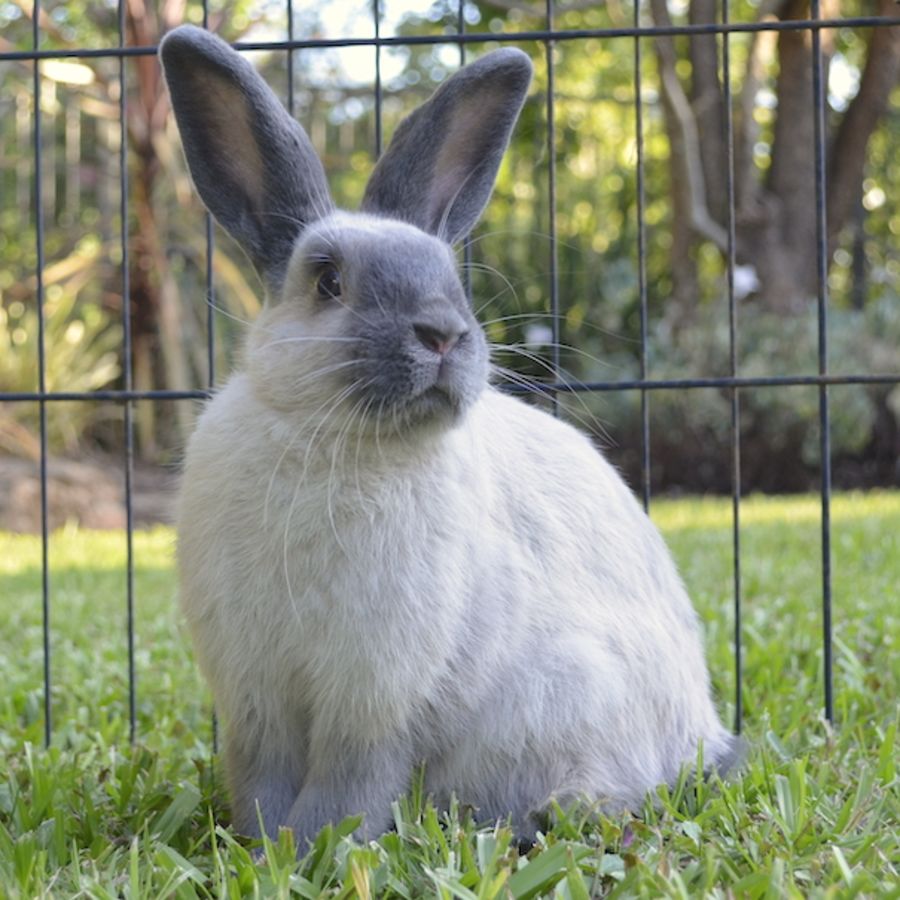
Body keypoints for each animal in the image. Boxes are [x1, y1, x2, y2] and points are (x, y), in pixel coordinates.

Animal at [160, 25, 741, 848]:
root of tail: (702, 736)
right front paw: (259, 845)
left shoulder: (374, 695)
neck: (338, 441)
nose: (443, 333)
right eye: (327, 281)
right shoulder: (255, 695)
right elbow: (261, 776)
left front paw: (314, 848)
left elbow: (351, 780)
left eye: (452, 281)